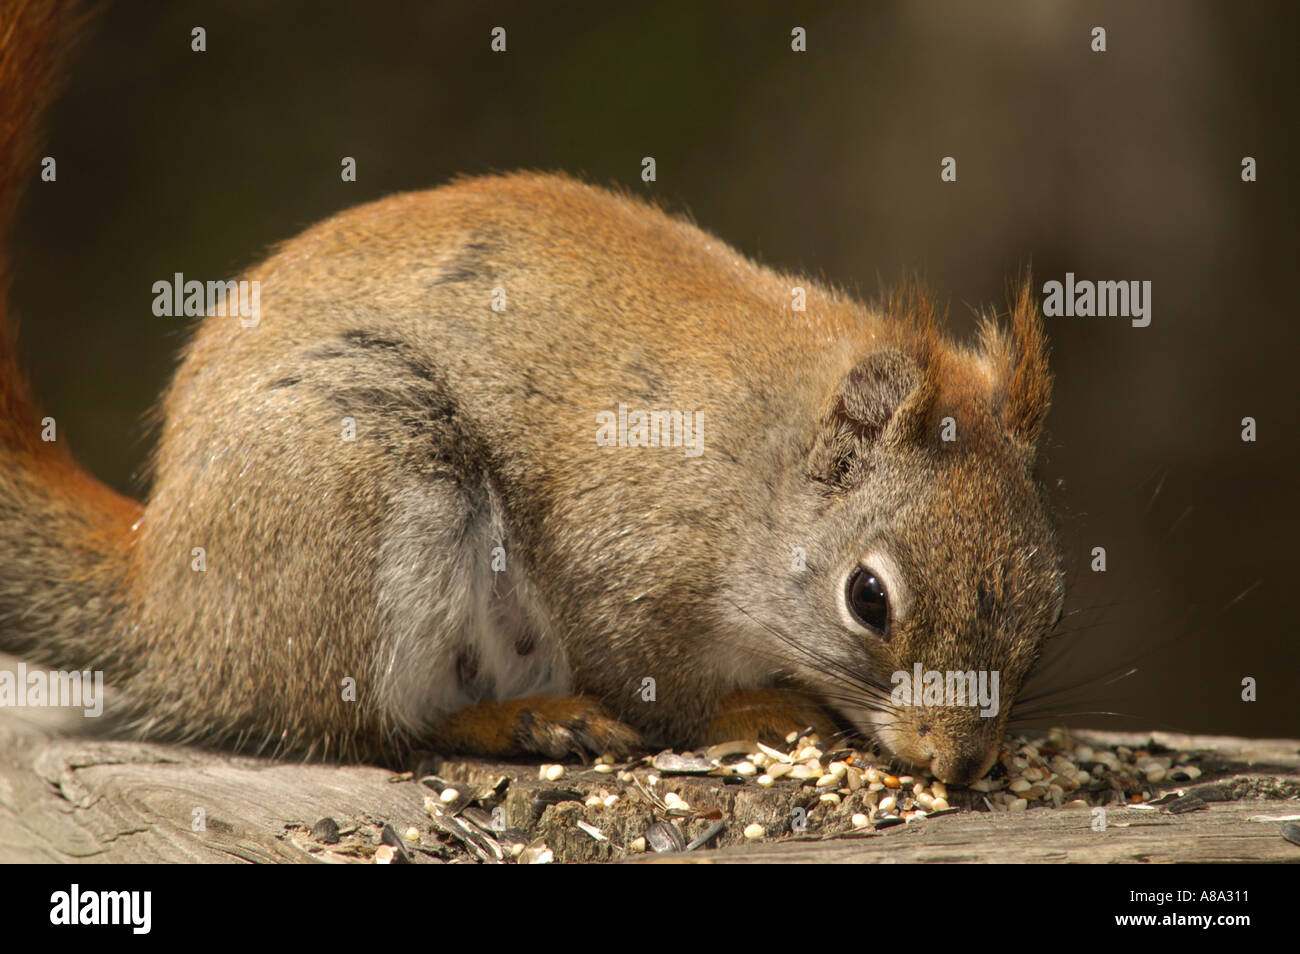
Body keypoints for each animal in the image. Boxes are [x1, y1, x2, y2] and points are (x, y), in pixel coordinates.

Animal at [0, 1, 1065, 785]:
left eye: (1050, 599)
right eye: (867, 599)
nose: (961, 765)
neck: (758, 474)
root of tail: (167, 601)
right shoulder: (621, 558)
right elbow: (658, 687)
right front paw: (753, 710)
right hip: (361, 478)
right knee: (377, 729)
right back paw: (528, 722)